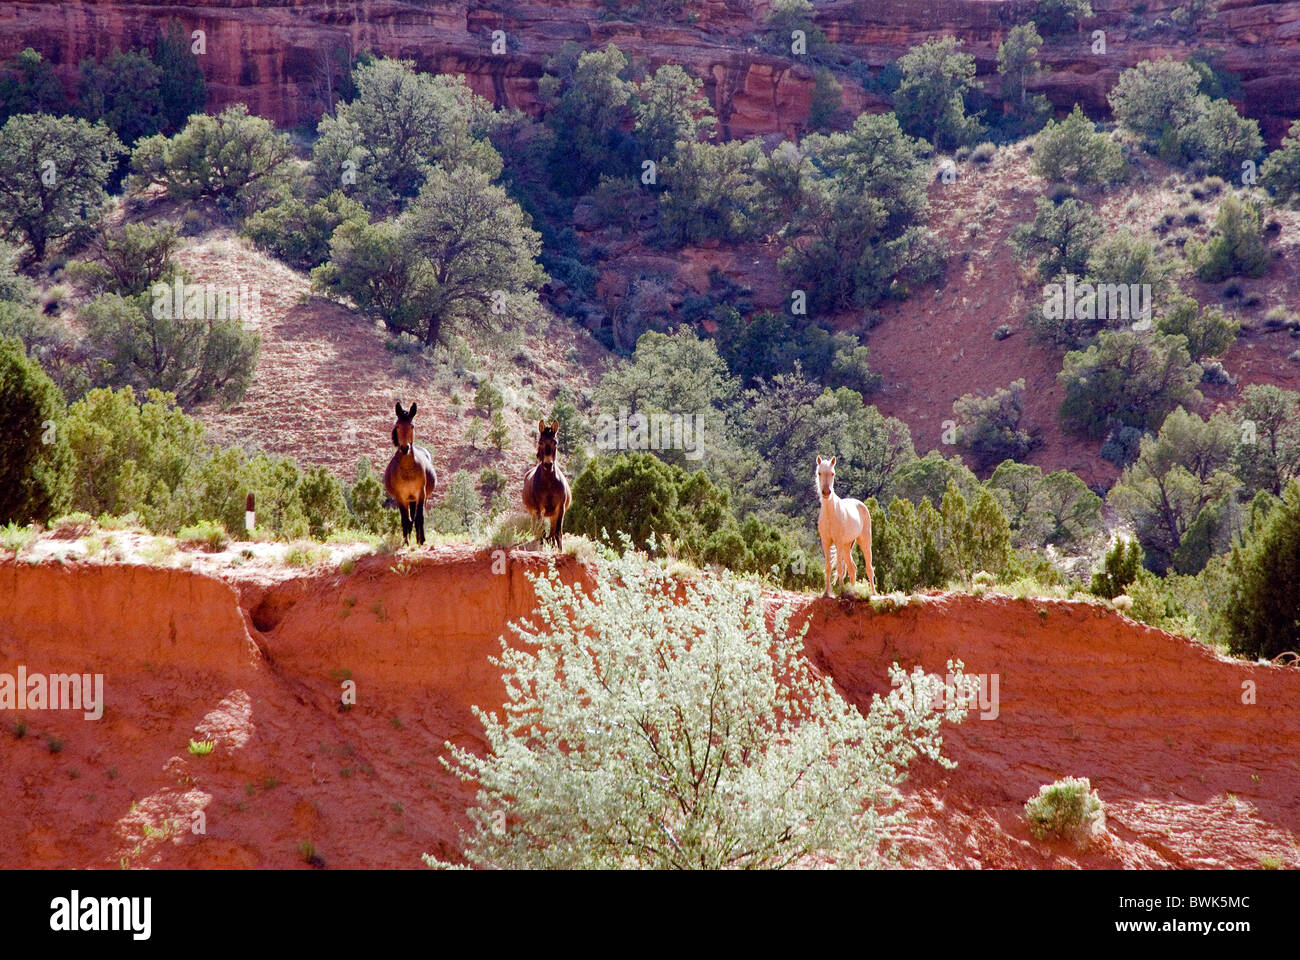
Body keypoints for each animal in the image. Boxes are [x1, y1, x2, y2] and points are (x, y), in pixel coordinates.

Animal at [383, 400, 438, 547]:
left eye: (412, 426)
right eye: (397, 426)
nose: (405, 448)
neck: (407, 471)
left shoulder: (421, 494)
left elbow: (419, 518)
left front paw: (421, 541)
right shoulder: (400, 497)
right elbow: (405, 520)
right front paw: (406, 542)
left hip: (419, 499)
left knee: (417, 517)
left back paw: (420, 538)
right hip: (409, 499)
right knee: (410, 519)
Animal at [522, 420, 572, 549]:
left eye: (555, 442)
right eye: (540, 442)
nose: (548, 464)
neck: (549, 484)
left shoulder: (560, 509)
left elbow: (558, 534)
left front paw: (559, 551)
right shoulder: (539, 509)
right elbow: (542, 533)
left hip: (552, 514)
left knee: (552, 533)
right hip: (534, 513)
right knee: (538, 530)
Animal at [815, 455, 876, 598]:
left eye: (832, 473)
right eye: (819, 473)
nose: (826, 492)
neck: (830, 513)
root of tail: (861, 504)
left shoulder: (838, 542)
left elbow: (839, 569)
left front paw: (840, 591)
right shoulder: (826, 542)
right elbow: (828, 568)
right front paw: (826, 593)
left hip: (864, 541)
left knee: (869, 567)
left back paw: (873, 593)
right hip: (847, 546)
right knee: (852, 568)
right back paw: (853, 591)